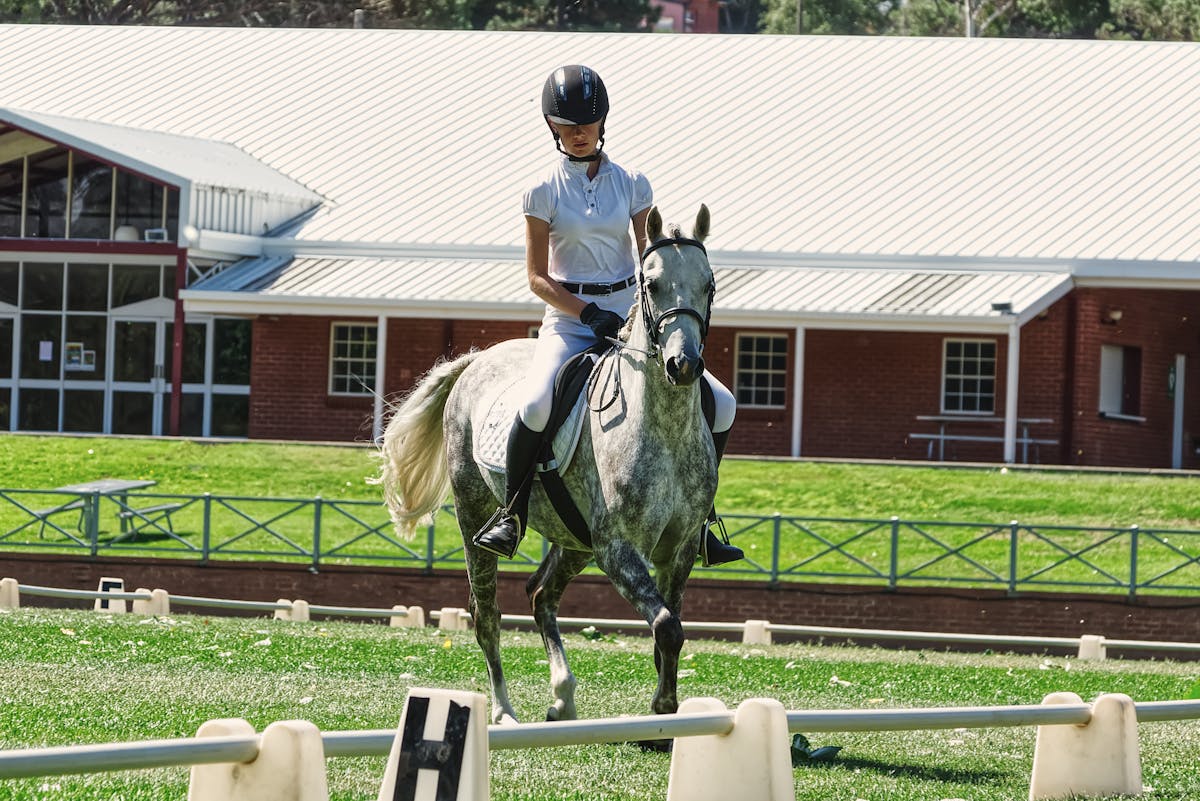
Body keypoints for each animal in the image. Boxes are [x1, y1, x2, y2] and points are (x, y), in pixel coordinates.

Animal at [376, 205, 719, 726]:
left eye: (709, 283)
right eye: (652, 284)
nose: (683, 365)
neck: (663, 427)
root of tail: (477, 360)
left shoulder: (677, 550)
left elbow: (672, 628)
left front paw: (666, 714)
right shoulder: (616, 550)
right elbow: (666, 626)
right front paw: (660, 716)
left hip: (574, 538)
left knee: (542, 596)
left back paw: (562, 697)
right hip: (475, 515)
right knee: (487, 616)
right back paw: (503, 711)